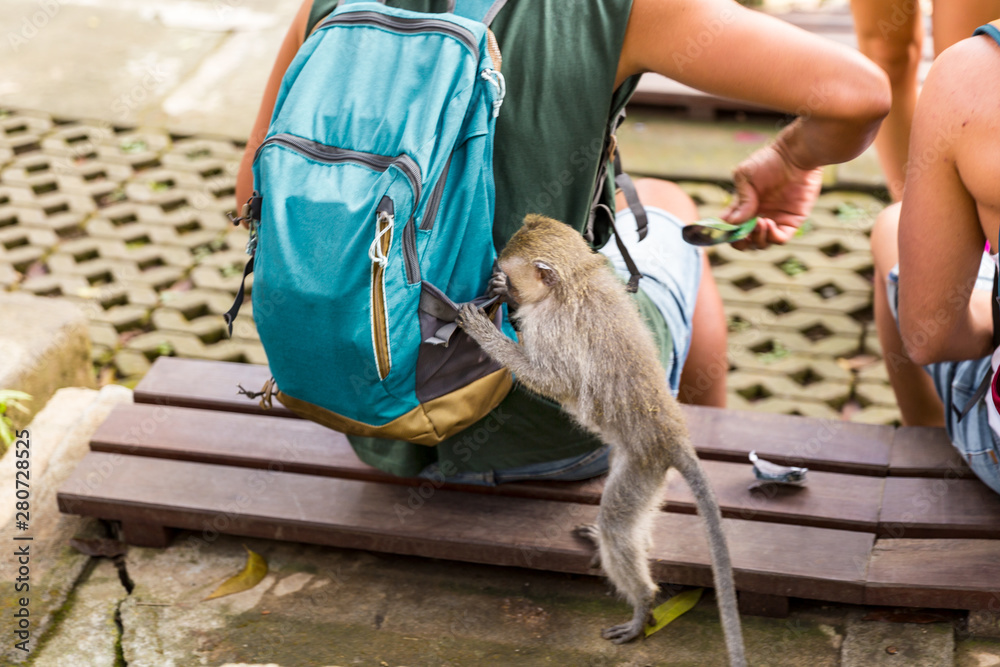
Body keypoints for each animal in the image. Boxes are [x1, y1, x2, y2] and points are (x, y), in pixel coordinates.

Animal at [456, 214, 746, 666]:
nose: (504, 285)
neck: (575, 280)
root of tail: (671, 433)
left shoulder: (551, 327)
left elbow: (553, 381)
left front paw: (486, 331)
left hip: (642, 465)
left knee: (617, 525)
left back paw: (643, 601)